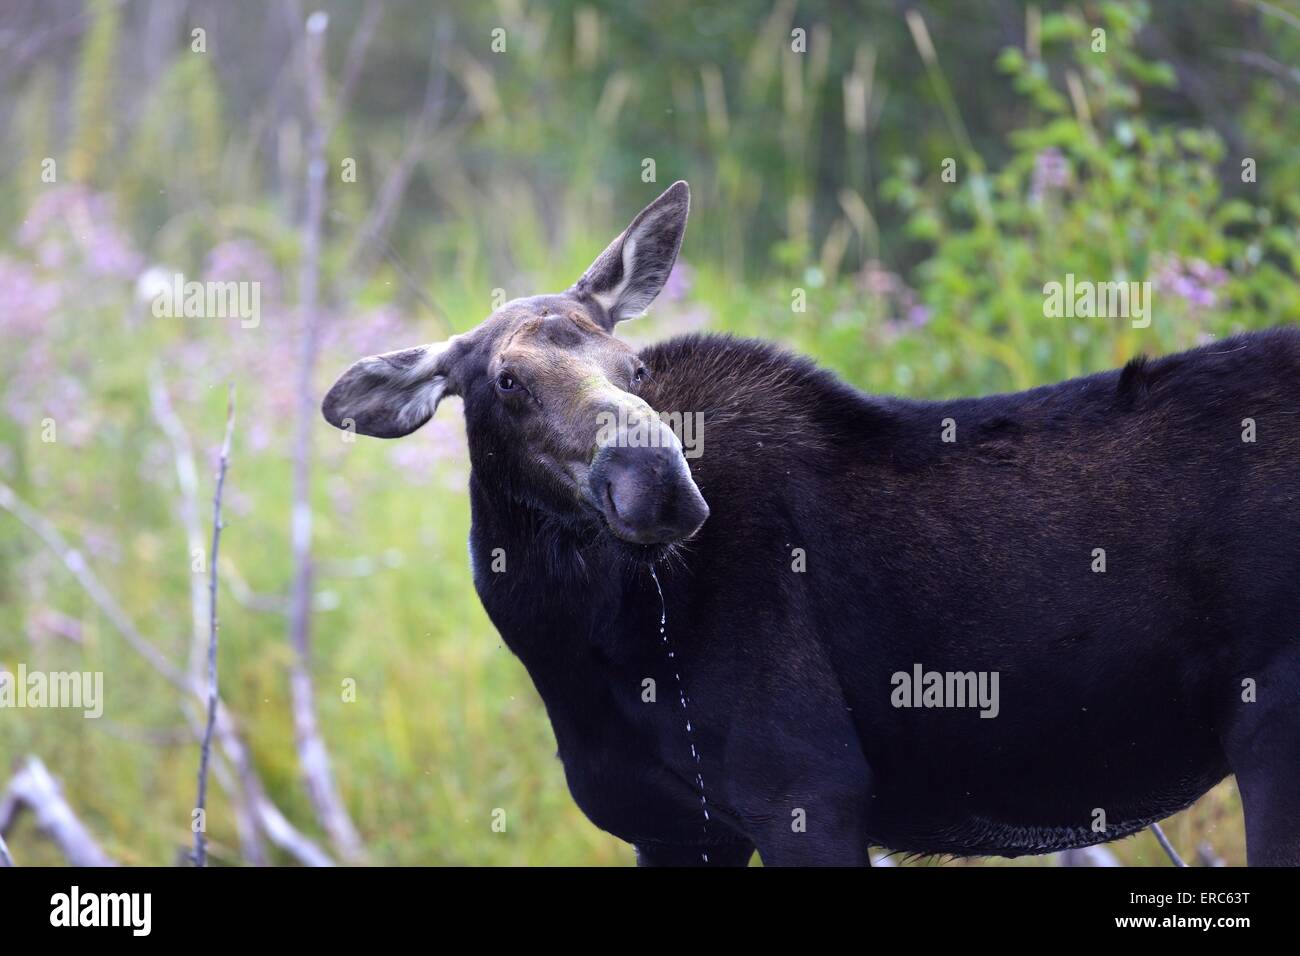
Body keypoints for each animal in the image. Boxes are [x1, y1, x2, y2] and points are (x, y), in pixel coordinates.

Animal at [323, 181, 1300, 866]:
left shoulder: (809, 792)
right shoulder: (678, 829)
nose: (658, 485)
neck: (580, 646)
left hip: (1275, 733)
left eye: (635, 368)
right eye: (507, 380)